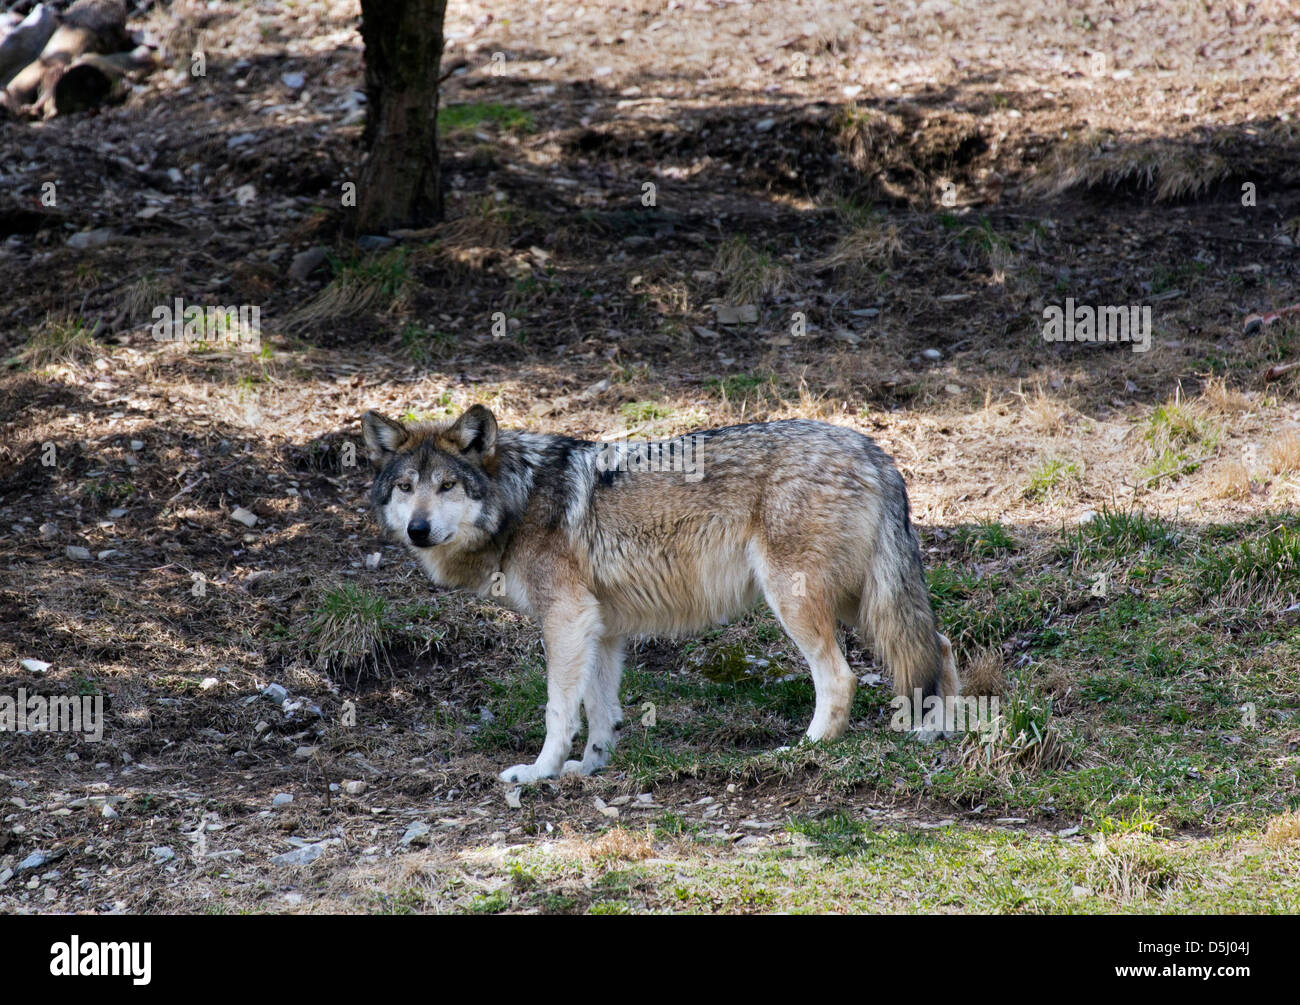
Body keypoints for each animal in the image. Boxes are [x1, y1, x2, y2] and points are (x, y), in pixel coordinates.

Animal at [363, 405, 959, 785]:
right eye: (406, 488)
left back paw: (805, 749)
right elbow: (601, 710)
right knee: (939, 646)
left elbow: (560, 710)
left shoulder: (567, 619)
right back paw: (935, 732)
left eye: (447, 486)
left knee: (842, 677)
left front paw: (539, 773)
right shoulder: (601, 629)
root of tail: (875, 451)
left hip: (798, 602)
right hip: (865, 602)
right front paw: (591, 768)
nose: (418, 529)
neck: (520, 496)